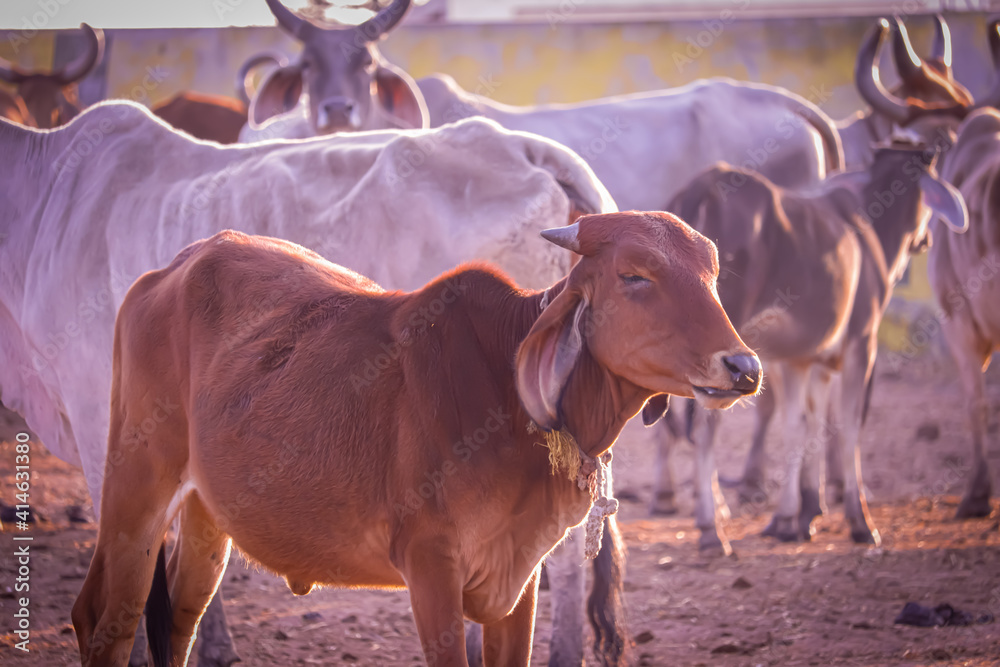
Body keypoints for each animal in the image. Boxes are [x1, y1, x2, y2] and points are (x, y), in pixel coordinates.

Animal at [71, 214, 761, 667]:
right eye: (634, 275)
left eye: (712, 274)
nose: (743, 367)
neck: (506, 397)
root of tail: (168, 271)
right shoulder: (431, 567)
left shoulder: (519, 580)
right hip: (136, 488)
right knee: (104, 618)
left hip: (207, 517)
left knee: (176, 622)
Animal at [662, 142, 968, 551]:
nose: (925, 239)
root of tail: (708, 184)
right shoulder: (861, 343)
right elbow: (848, 424)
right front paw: (859, 520)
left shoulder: (802, 360)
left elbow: (803, 422)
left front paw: (796, 515)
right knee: (706, 423)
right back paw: (711, 528)